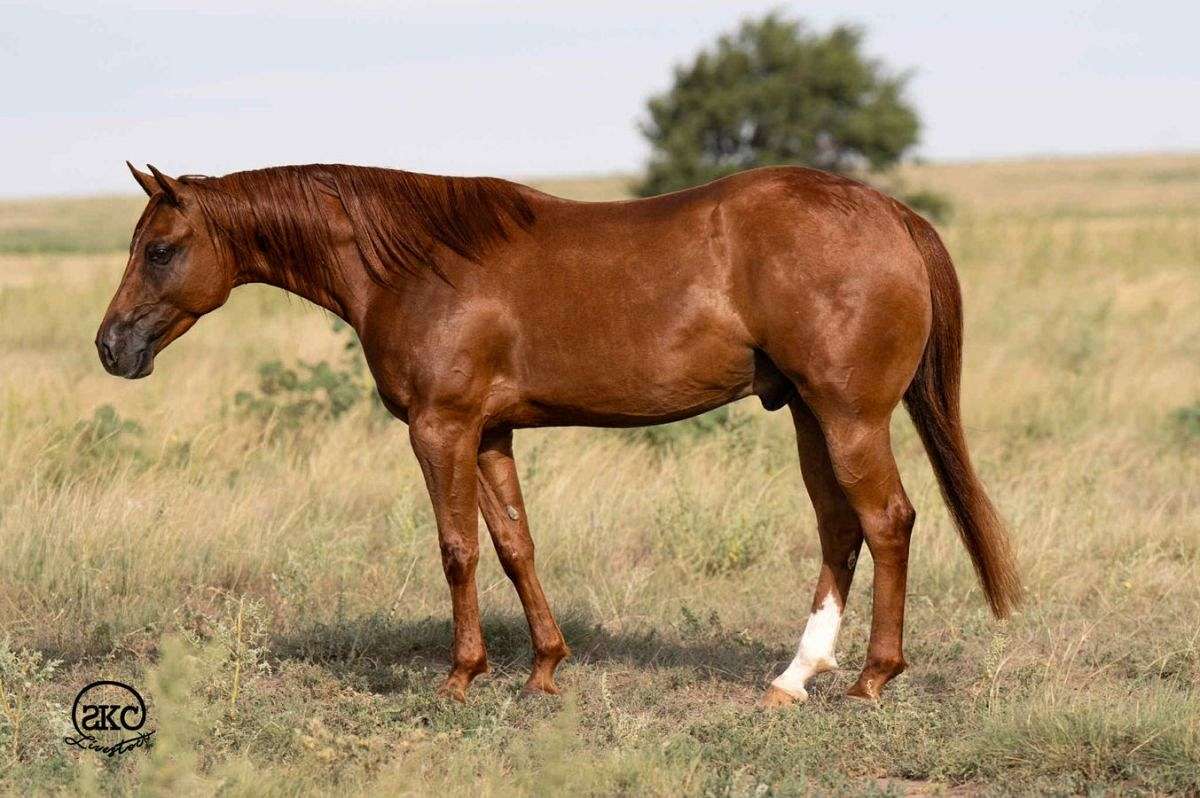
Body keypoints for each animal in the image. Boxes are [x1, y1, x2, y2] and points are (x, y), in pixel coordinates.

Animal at [97, 161, 1020, 704]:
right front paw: (544, 666)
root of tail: (887, 211)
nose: (112, 347)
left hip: (848, 415)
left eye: (162, 249)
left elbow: (457, 550)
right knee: (839, 529)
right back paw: (795, 677)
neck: (416, 263)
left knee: (887, 522)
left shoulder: (440, 429)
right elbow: (515, 546)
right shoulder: (491, 434)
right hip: (805, 411)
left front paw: (461, 675)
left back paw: (870, 677)